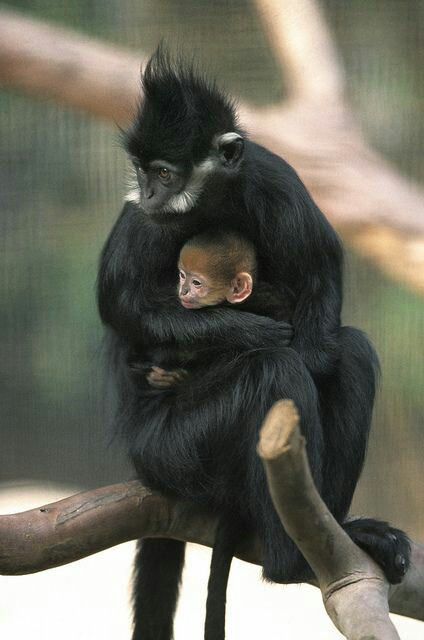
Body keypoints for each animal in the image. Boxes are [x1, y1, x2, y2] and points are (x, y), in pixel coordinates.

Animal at [97, 46, 410, 640]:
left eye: (165, 172)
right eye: (143, 172)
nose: (148, 192)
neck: (211, 205)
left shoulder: (272, 178)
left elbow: (320, 280)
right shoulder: (142, 220)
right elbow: (124, 308)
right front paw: (258, 330)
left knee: (350, 352)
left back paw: (338, 532)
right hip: (169, 450)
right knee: (273, 371)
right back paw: (290, 558)